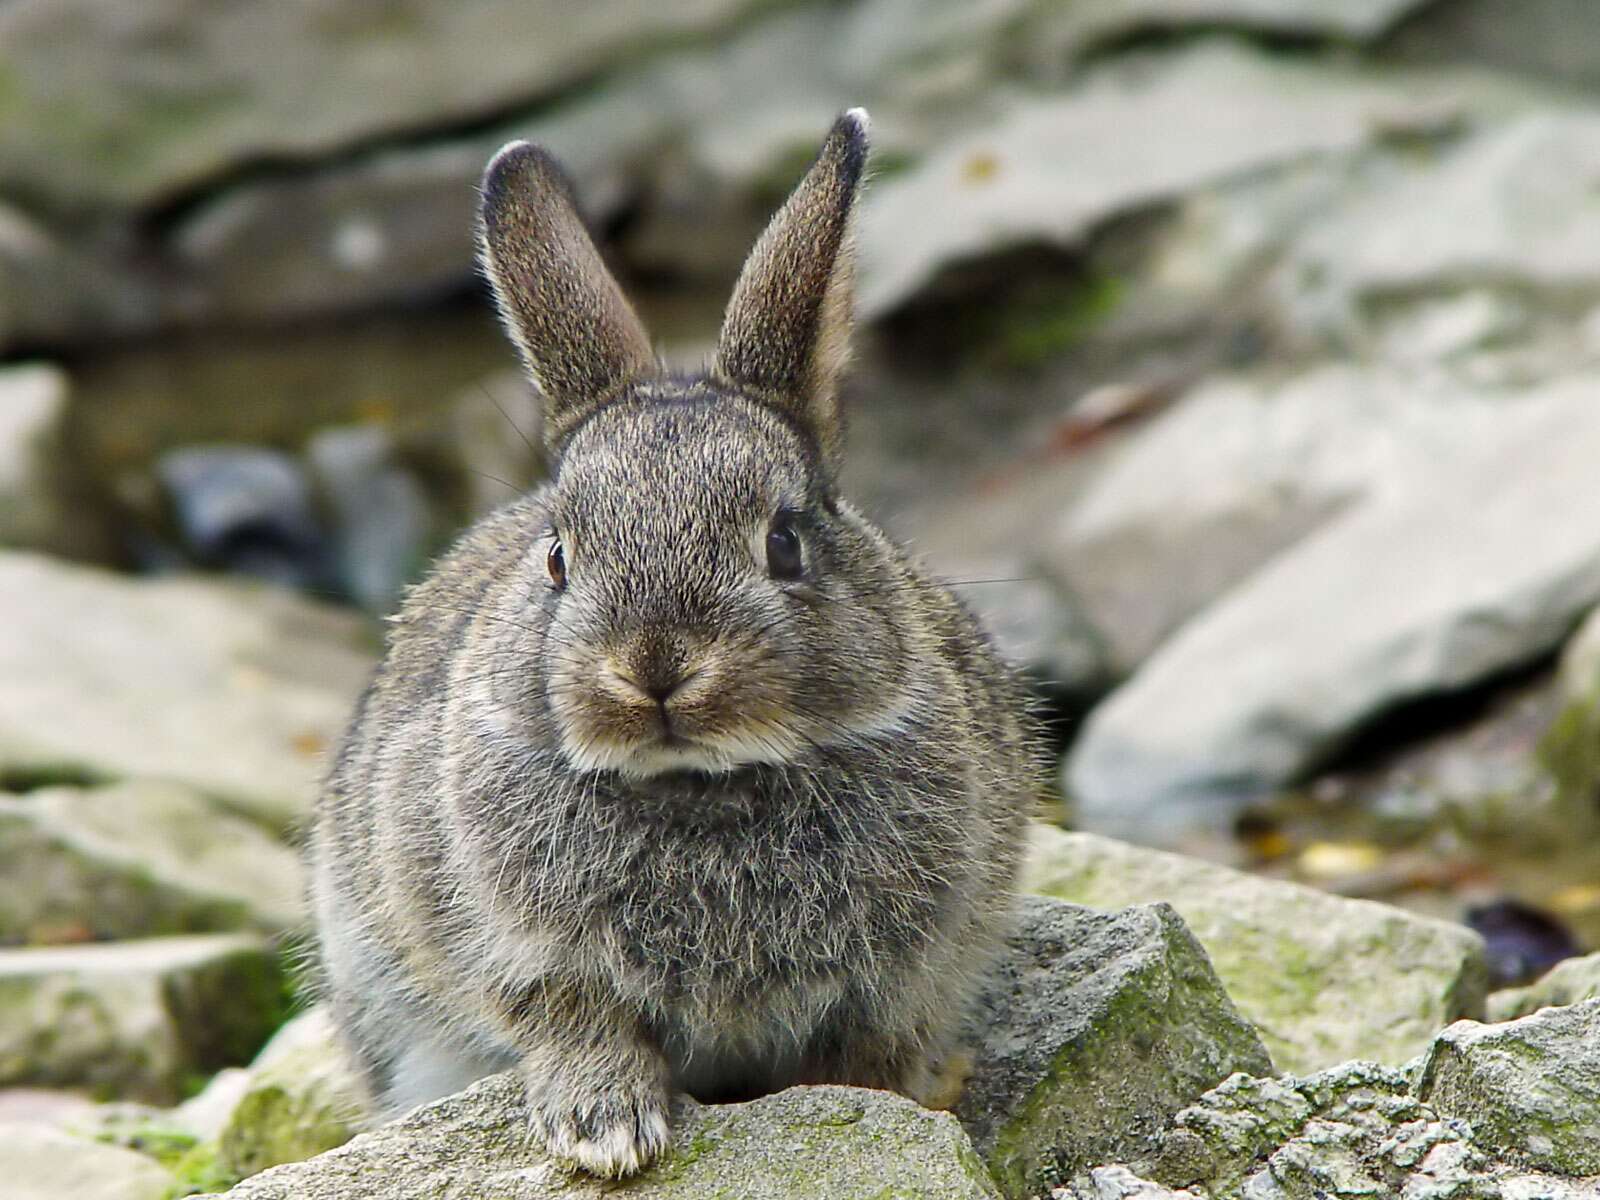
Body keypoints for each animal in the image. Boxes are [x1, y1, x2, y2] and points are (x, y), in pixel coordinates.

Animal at [309, 107, 1041, 1180]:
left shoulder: (908, 971)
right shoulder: (506, 946)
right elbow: (573, 1018)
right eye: (559, 555)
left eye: (784, 542)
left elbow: (863, 1054)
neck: (697, 782)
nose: (654, 668)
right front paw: (605, 1132)